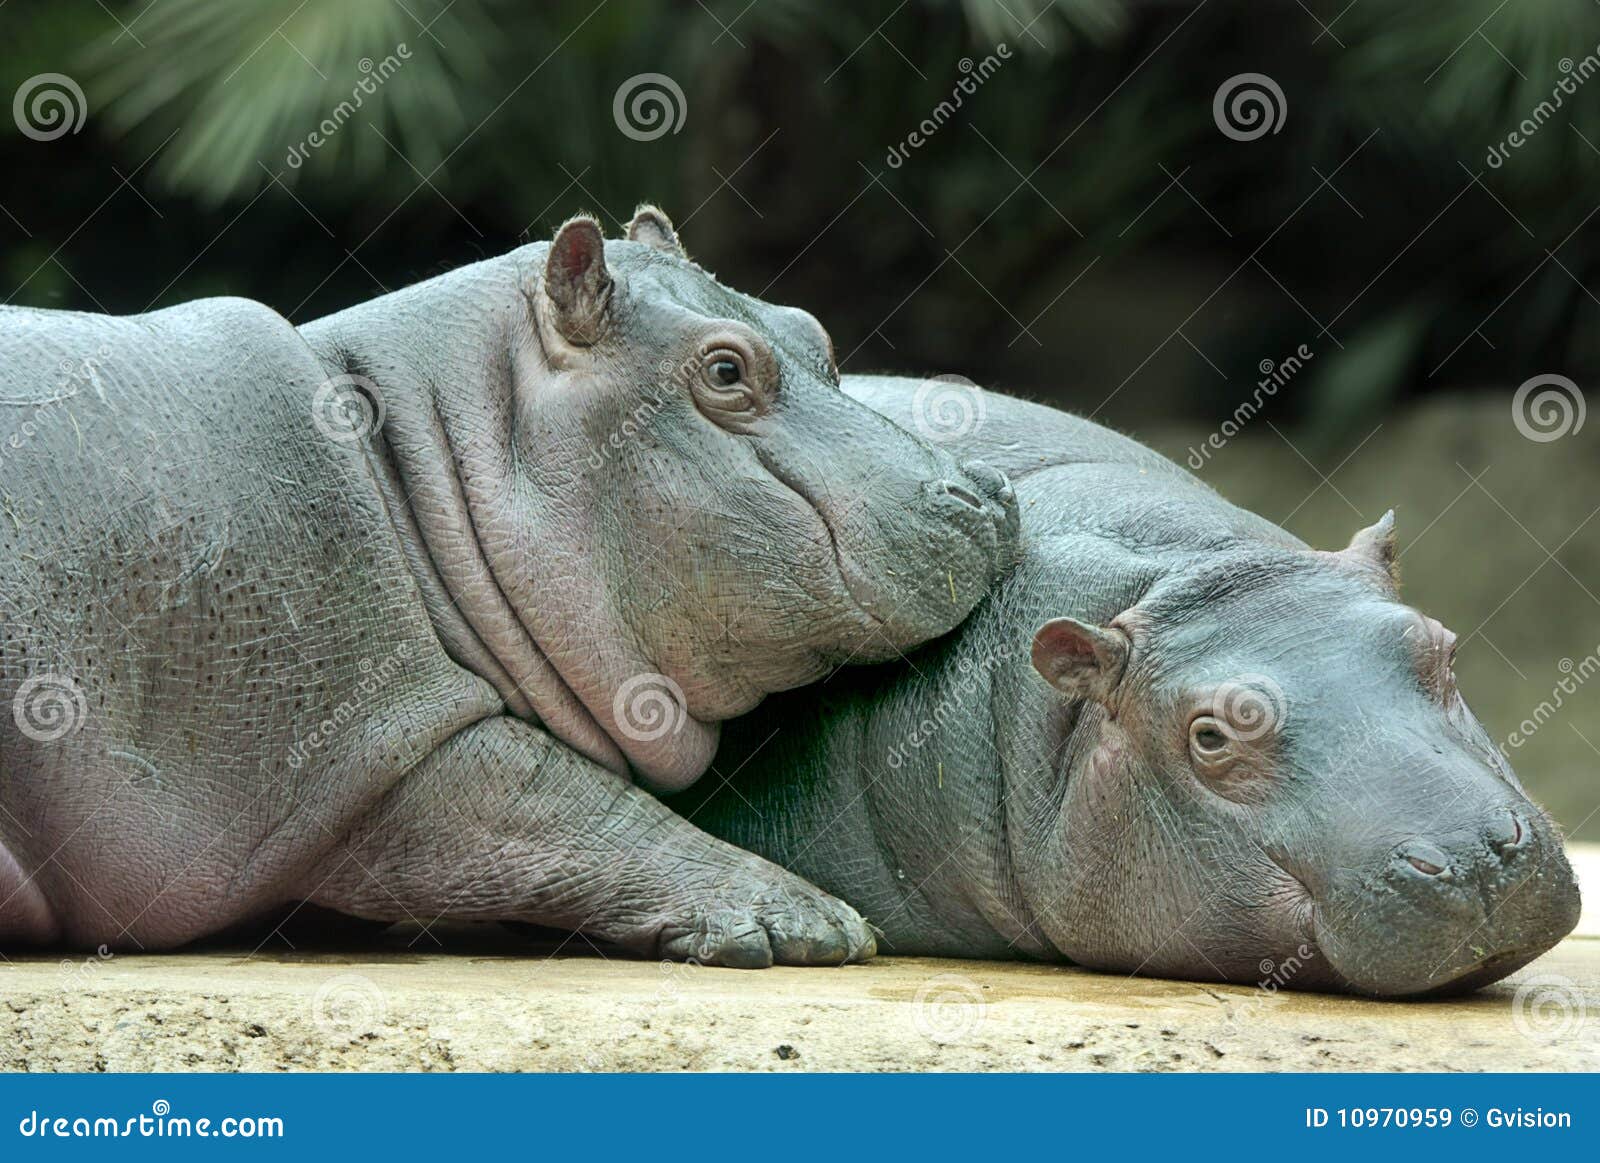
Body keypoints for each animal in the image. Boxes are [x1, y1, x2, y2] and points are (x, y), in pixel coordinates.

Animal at [0, 211, 1015, 964]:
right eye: (726, 369)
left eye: (813, 329)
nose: (987, 492)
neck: (409, 459)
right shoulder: (365, 732)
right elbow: (547, 793)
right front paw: (811, 920)